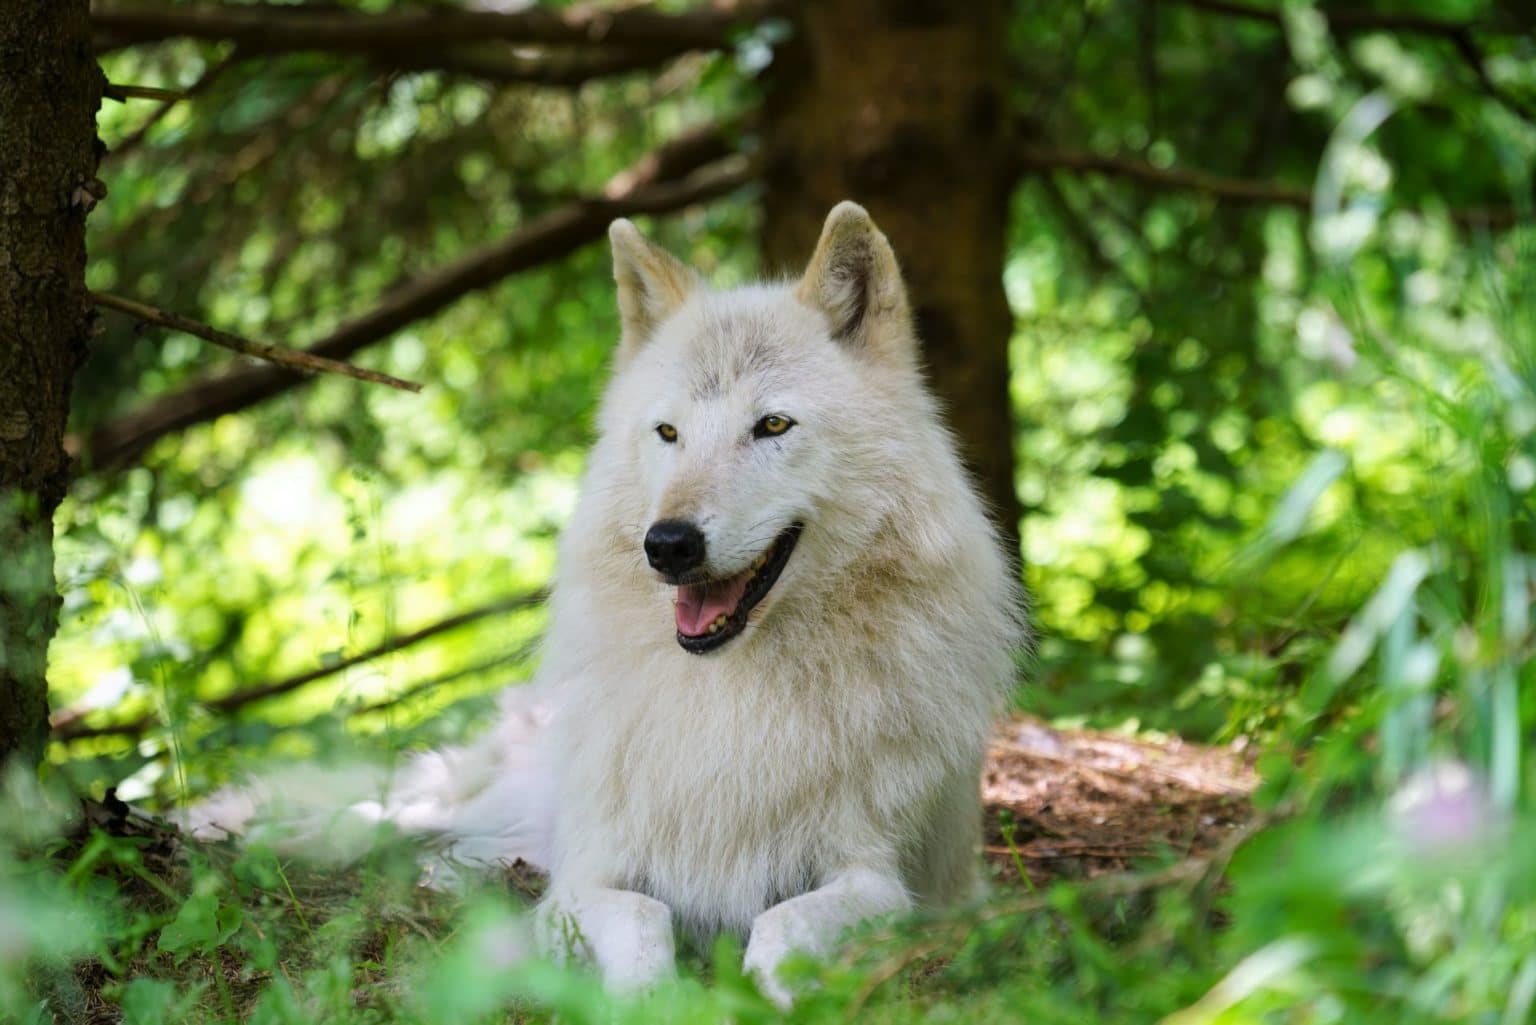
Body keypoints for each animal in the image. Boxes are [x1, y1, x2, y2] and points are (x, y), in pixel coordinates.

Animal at [187, 203, 1025, 1004]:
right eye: (668, 432)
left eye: (773, 424)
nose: (670, 544)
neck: (731, 696)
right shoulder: (590, 875)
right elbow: (643, 915)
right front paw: (650, 997)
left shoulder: (884, 879)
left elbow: (784, 923)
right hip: (493, 801)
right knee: (379, 816)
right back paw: (236, 829)